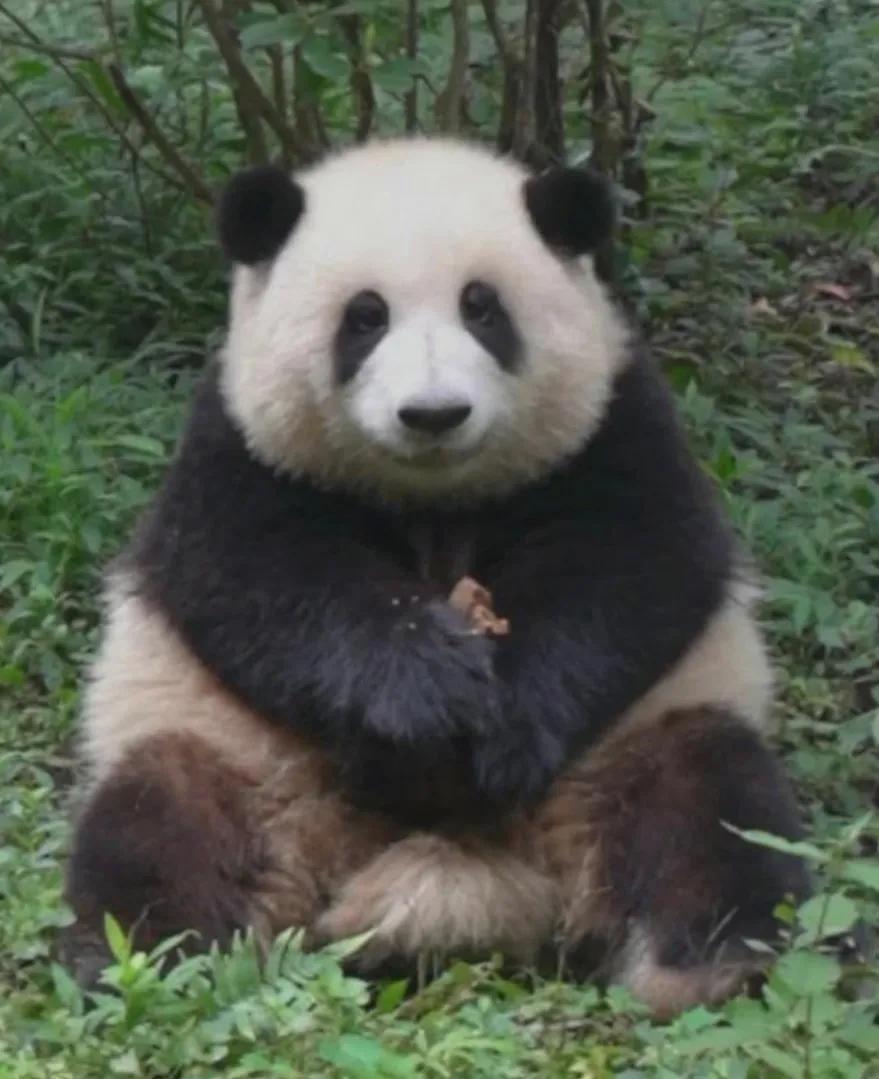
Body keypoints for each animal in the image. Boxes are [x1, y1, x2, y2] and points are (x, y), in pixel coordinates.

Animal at [64, 137, 809, 1017]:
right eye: (364, 316)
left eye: (482, 309)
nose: (432, 414)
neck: (434, 495)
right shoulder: (241, 444)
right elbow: (255, 581)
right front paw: (418, 704)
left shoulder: (614, 419)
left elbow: (636, 565)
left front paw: (505, 723)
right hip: (243, 759)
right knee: (160, 812)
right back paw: (155, 965)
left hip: (620, 753)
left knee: (711, 798)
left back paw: (716, 964)